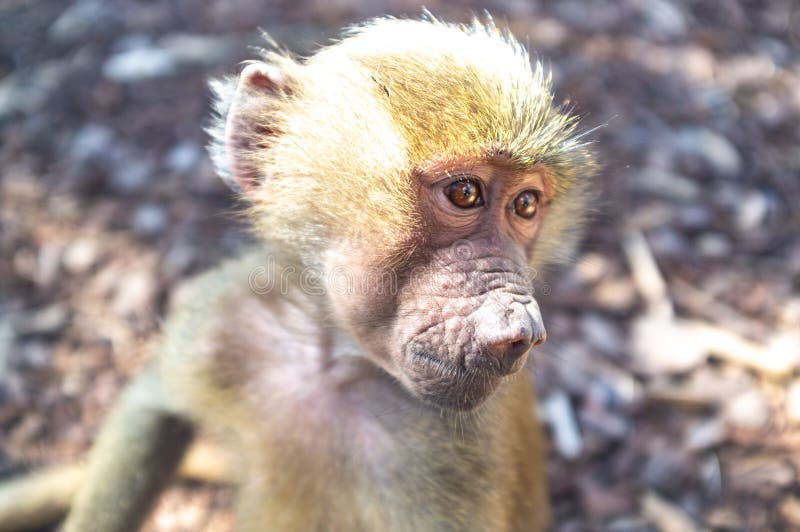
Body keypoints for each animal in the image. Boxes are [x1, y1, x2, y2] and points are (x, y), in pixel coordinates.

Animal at [63, 15, 594, 532]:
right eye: (465, 193)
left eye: (525, 205)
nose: (522, 330)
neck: (329, 360)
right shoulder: (226, 320)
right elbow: (151, 404)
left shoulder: (452, 452)